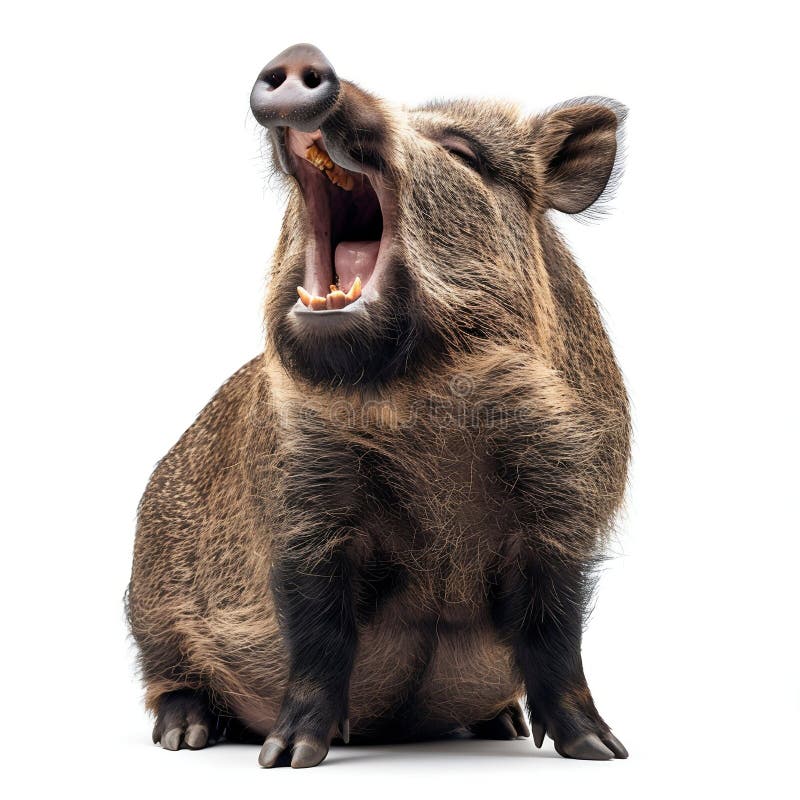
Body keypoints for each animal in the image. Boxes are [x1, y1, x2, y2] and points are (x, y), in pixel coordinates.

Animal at [126, 43, 631, 768]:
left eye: (461, 151)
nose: (300, 56)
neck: (429, 407)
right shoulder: (305, 503)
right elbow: (319, 633)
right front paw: (287, 757)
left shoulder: (566, 499)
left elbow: (554, 634)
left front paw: (601, 751)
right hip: (151, 600)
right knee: (168, 677)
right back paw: (185, 735)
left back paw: (502, 725)